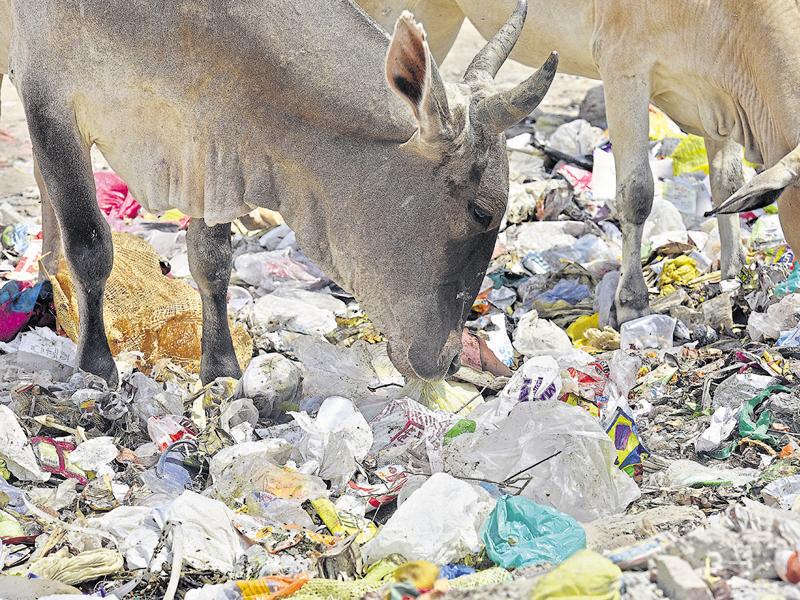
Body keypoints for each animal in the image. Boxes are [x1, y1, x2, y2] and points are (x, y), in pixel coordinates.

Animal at [2, 0, 558, 386]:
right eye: (482, 210)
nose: (448, 360)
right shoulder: (49, 98)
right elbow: (92, 246)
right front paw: (96, 365)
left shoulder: (206, 143)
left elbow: (212, 260)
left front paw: (221, 368)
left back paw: (48, 272)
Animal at [361, 0, 800, 324]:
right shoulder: (624, 67)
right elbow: (637, 193)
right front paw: (632, 302)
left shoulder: (719, 99)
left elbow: (727, 184)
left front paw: (734, 276)